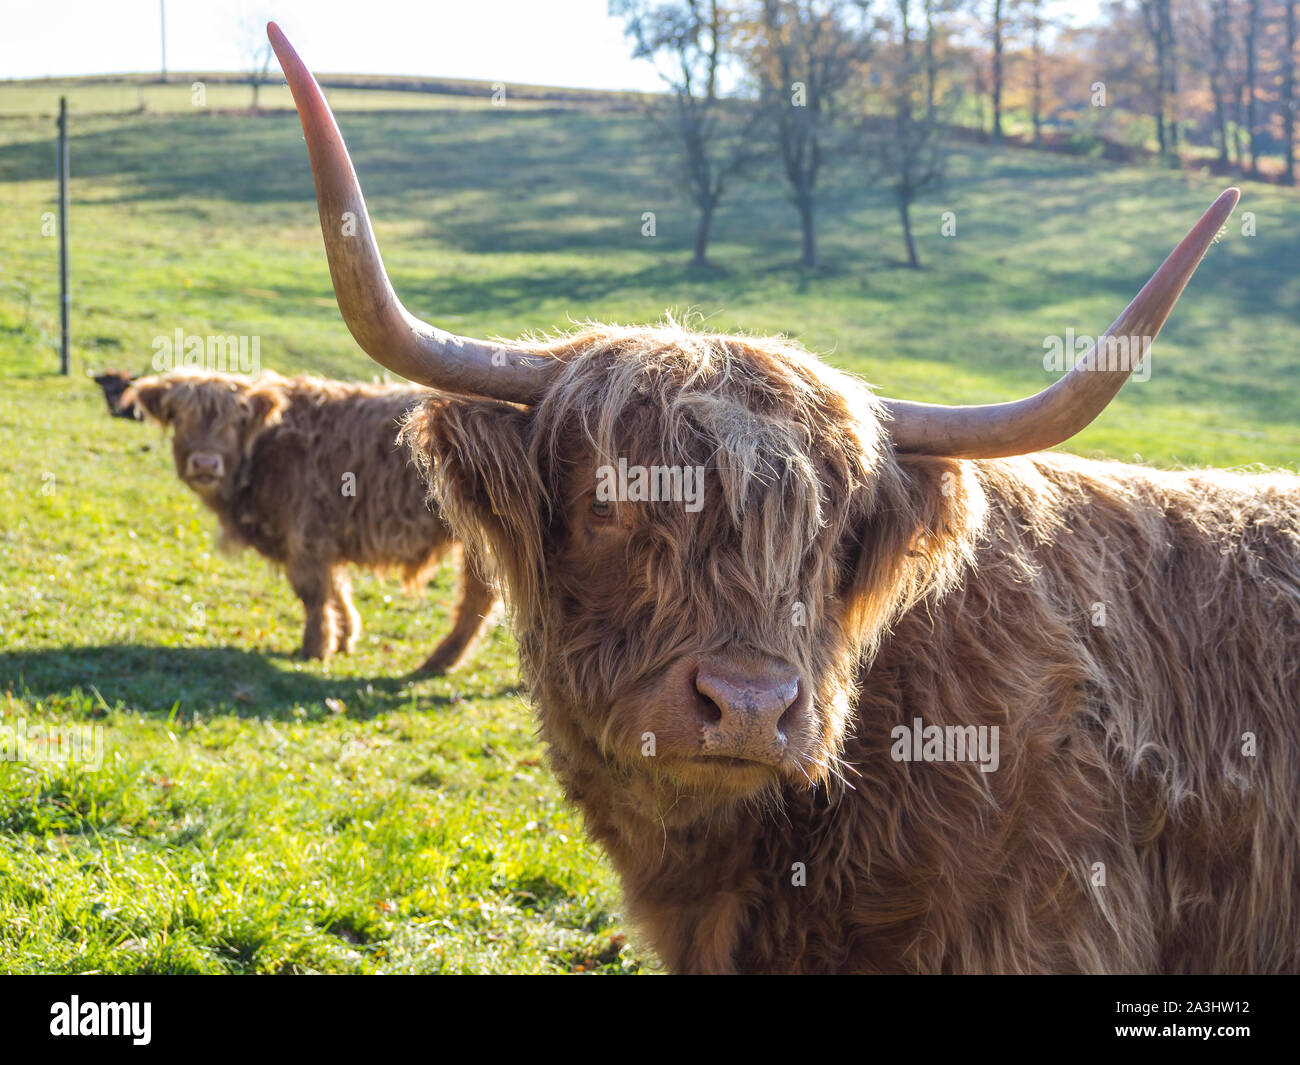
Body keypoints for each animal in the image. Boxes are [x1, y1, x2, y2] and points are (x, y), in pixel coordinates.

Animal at [123, 368, 497, 673]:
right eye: (179, 417)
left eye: (235, 422)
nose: (204, 463)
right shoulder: (321, 536)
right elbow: (336, 587)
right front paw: (345, 637)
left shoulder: (306, 533)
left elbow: (313, 591)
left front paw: (315, 647)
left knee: (479, 596)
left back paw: (439, 661)